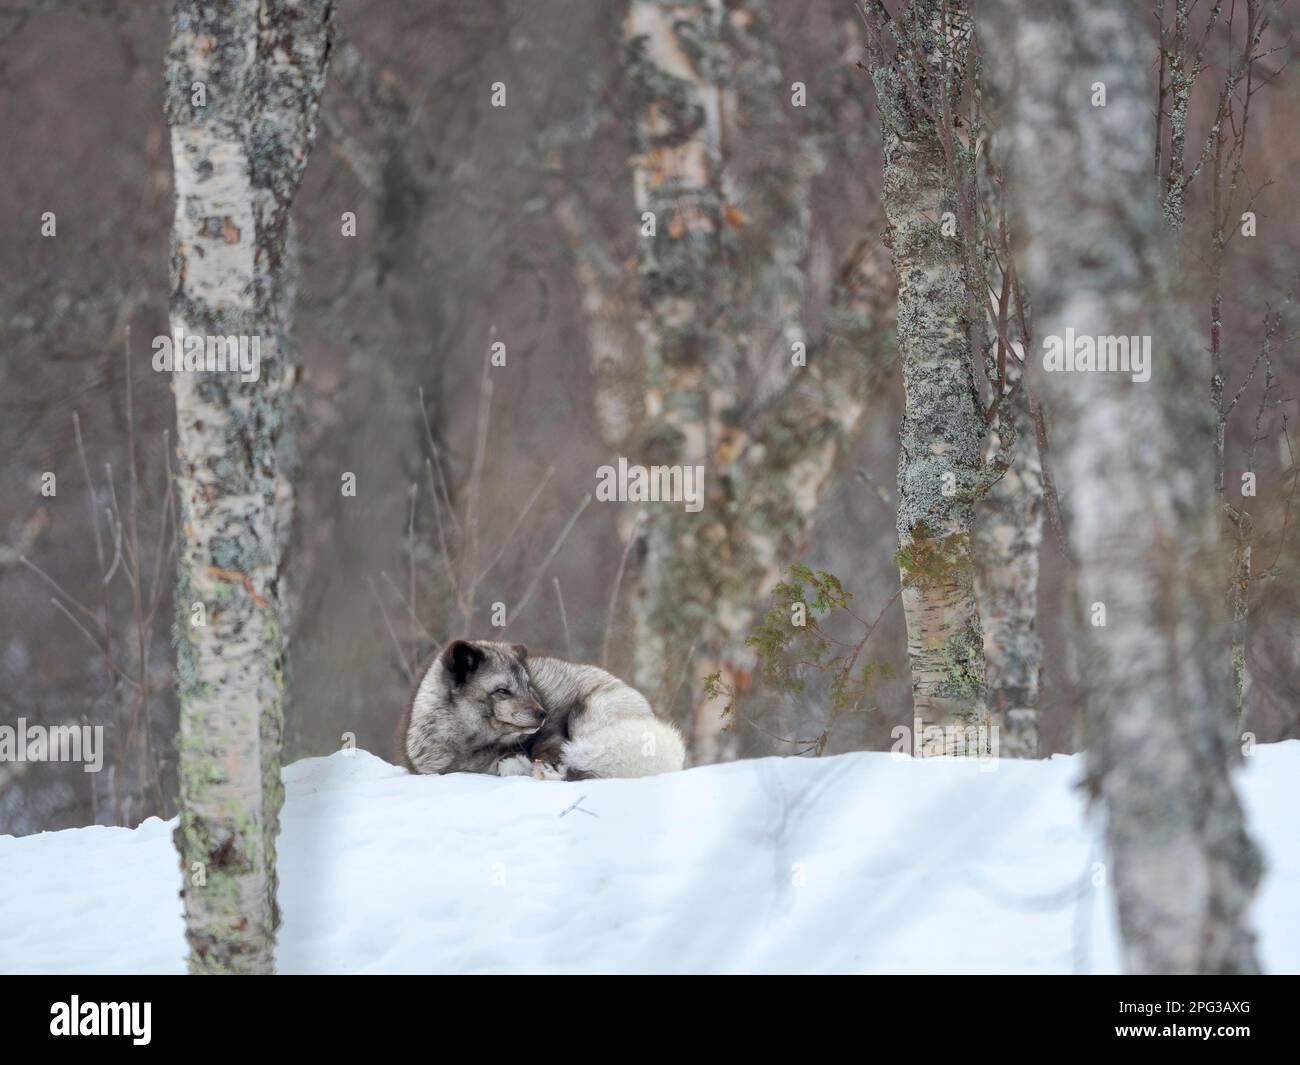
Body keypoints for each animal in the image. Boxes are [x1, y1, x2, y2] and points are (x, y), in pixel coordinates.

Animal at [397, 639, 685, 780]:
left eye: (529, 686)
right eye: (503, 691)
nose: (543, 713)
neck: (473, 747)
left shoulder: (552, 734)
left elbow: (545, 752)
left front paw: (539, 766)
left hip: (587, 714)